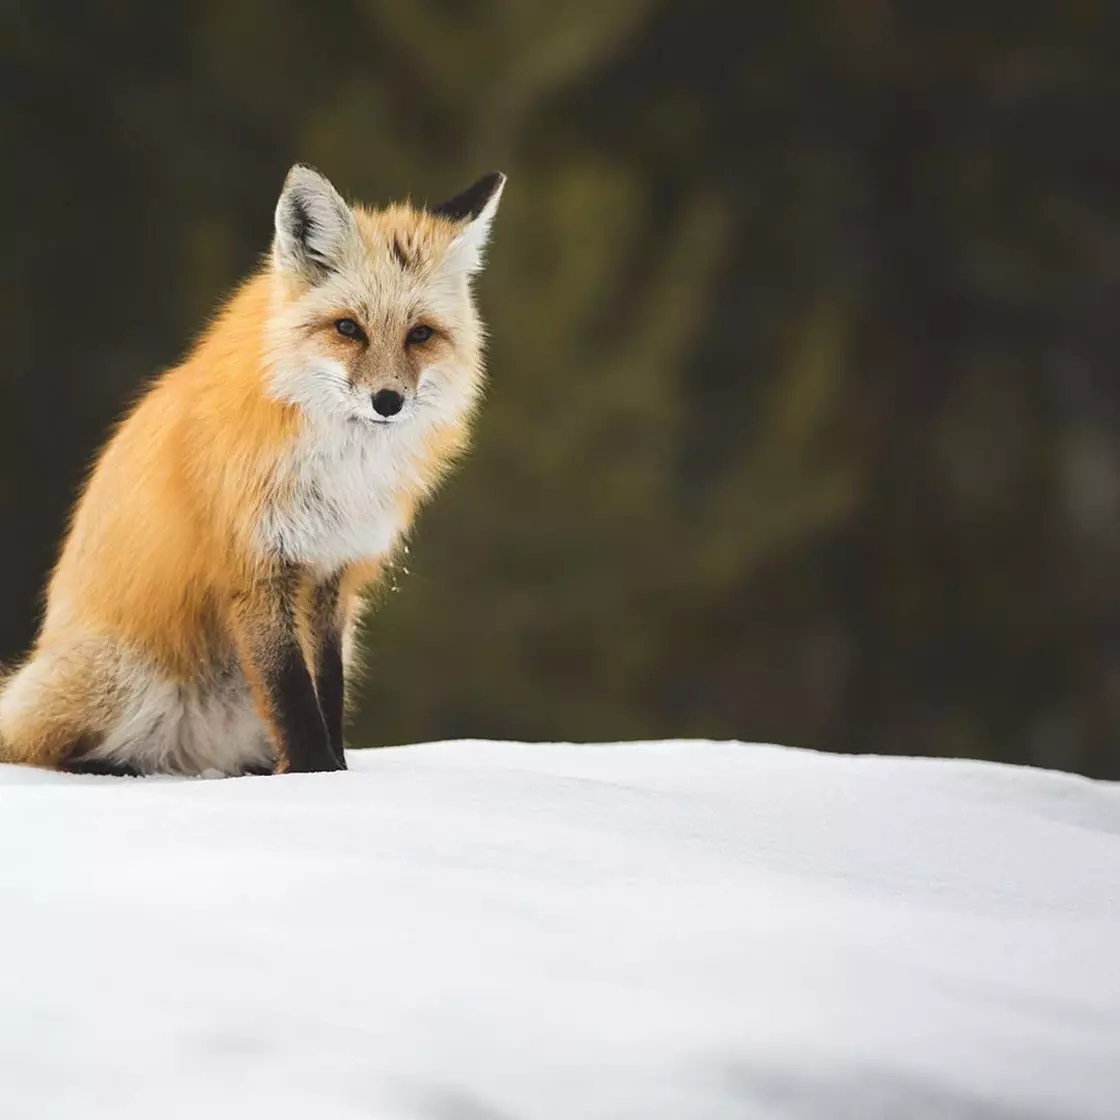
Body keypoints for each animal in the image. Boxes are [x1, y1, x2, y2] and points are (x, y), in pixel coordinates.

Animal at [0, 165, 508, 775]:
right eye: (348, 328)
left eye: (420, 335)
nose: (388, 401)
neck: (339, 476)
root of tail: (193, 751)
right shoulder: (255, 564)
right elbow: (290, 690)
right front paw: (312, 774)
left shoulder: (331, 575)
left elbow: (325, 688)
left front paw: (335, 774)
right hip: (124, 678)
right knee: (32, 748)